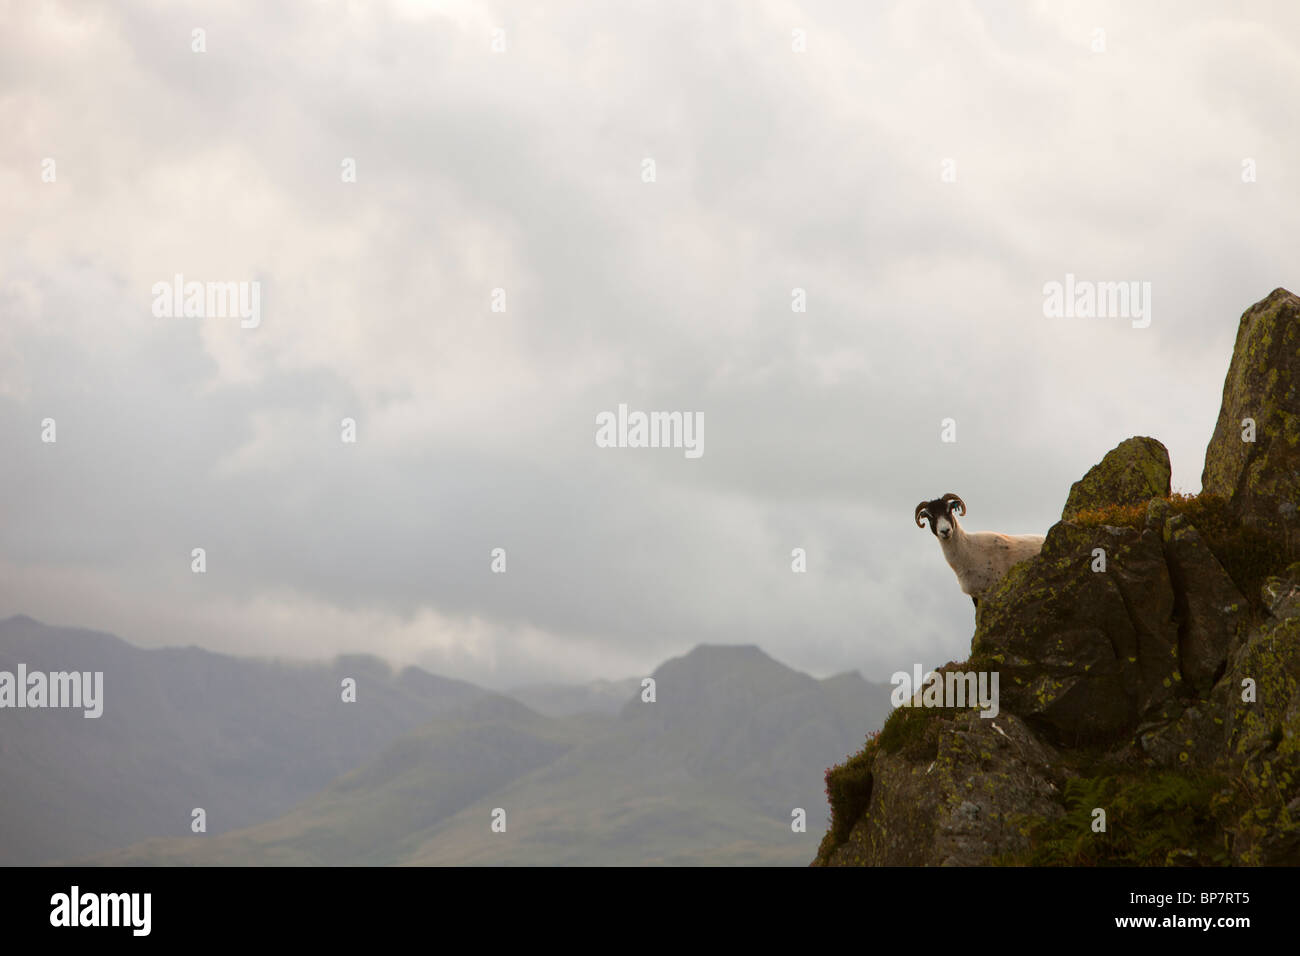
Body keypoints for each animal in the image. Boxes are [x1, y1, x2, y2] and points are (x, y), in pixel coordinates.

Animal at [913, 493, 1045, 609]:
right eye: (930, 516)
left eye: (949, 510)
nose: (945, 531)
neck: (969, 550)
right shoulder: (975, 595)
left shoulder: (992, 588)